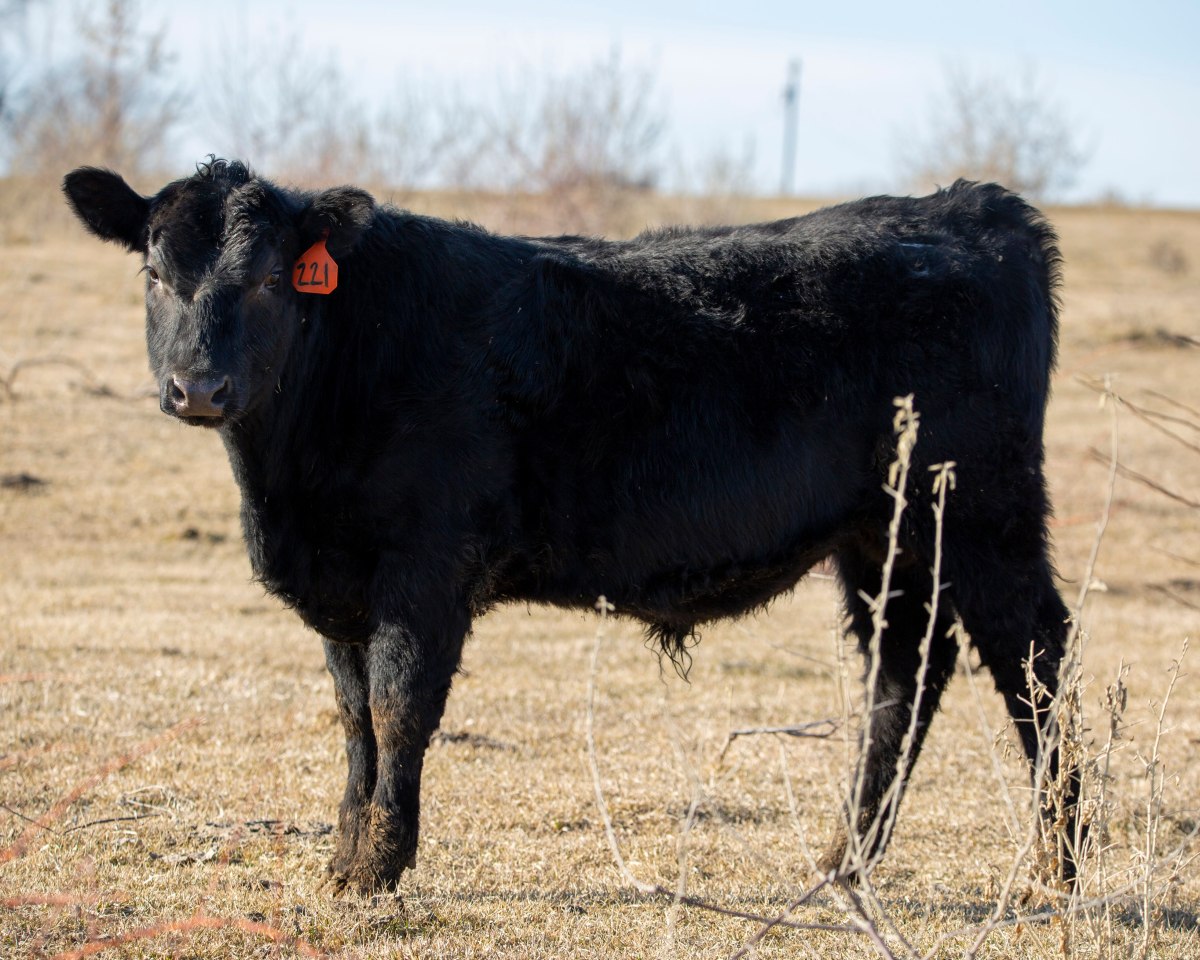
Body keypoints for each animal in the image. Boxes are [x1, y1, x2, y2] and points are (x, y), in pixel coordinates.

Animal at [63, 159, 1078, 895]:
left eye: (275, 279)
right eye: (153, 273)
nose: (198, 388)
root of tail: (971, 205)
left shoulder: (423, 573)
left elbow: (398, 711)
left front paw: (379, 871)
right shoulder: (343, 583)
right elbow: (352, 719)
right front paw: (344, 860)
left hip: (982, 515)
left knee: (1035, 660)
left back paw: (1054, 870)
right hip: (886, 541)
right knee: (900, 679)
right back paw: (842, 864)